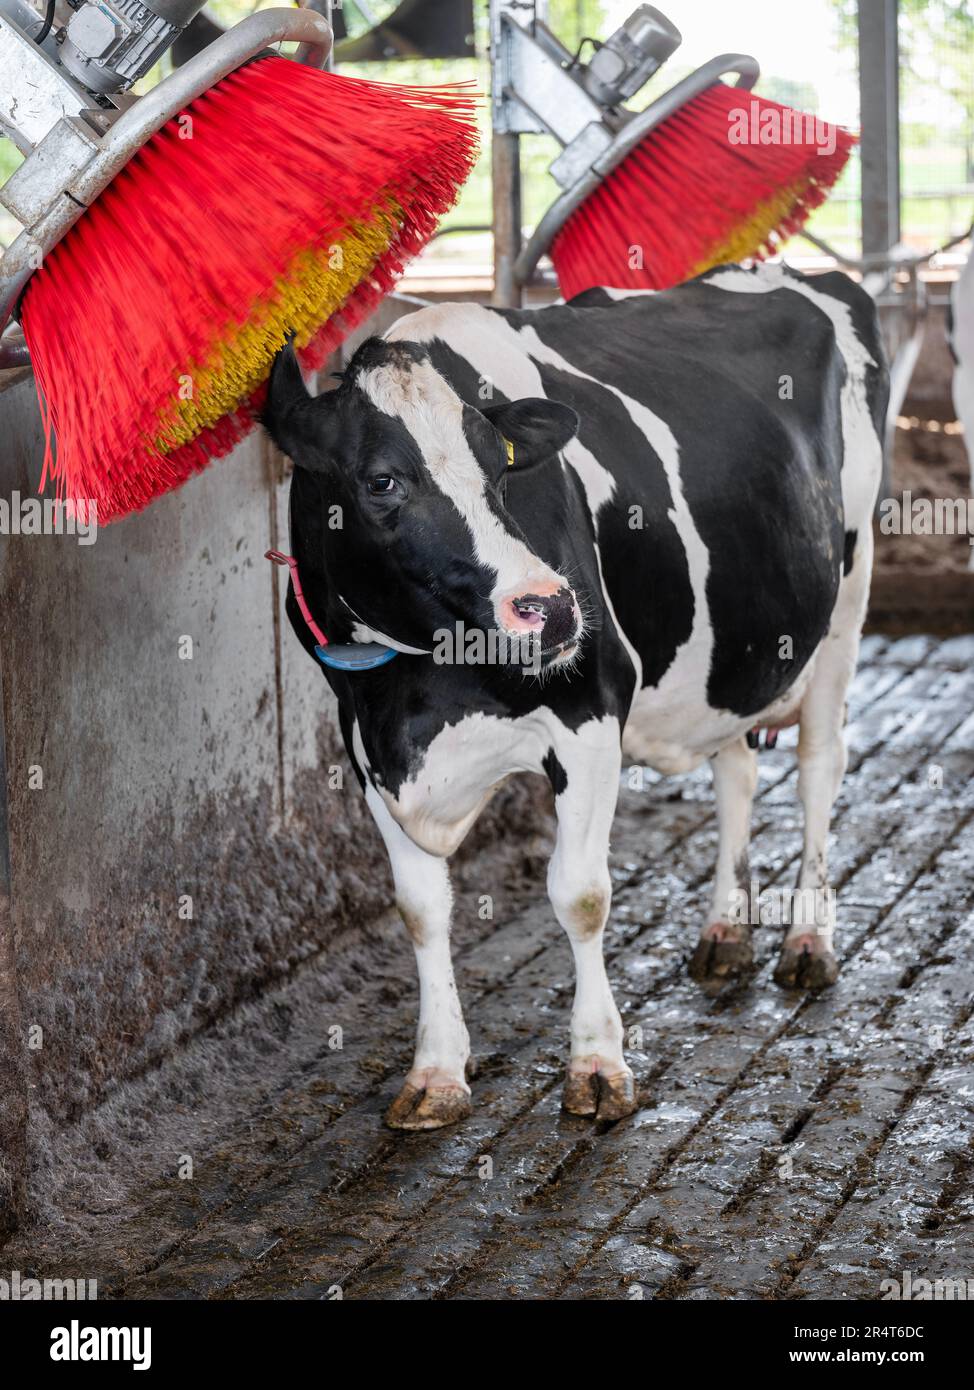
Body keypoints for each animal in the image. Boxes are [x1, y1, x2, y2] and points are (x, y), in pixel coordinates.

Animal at [262, 262, 888, 1131]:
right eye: (381, 481)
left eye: (500, 471)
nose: (553, 607)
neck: (418, 684)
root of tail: (790, 270)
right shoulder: (365, 746)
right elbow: (420, 907)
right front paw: (435, 1071)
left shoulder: (589, 713)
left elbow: (580, 894)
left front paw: (597, 1065)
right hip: (734, 650)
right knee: (735, 770)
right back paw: (726, 932)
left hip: (845, 607)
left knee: (820, 767)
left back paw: (808, 942)